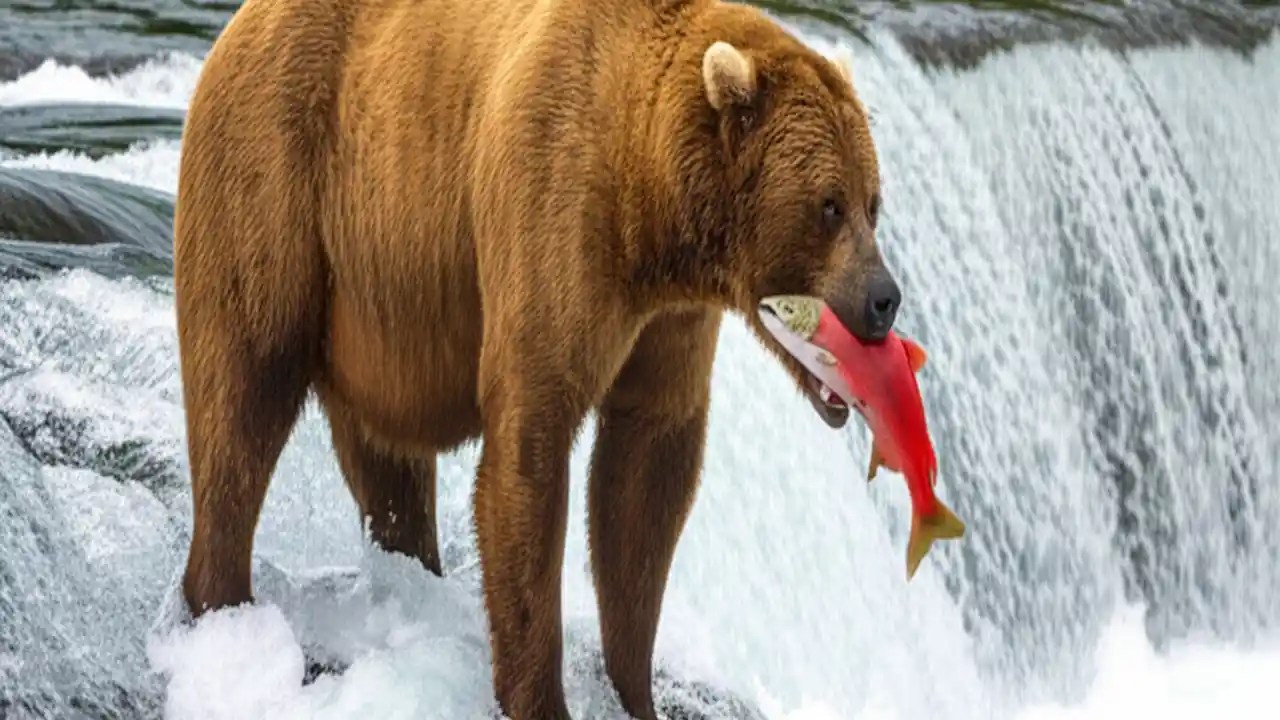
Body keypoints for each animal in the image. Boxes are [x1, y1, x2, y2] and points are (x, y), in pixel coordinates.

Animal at [171, 0, 900, 718]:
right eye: (828, 205)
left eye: (873, 202)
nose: (884, 299)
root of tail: (237, 27)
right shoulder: (554, 209)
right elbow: (531, 450)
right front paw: (541, 695)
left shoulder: (670, 323)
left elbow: (646, 477)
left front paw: (632, 689)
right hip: (276, 177)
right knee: (242, 394)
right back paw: (225, 614)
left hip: (376, 308)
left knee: (388, 470)